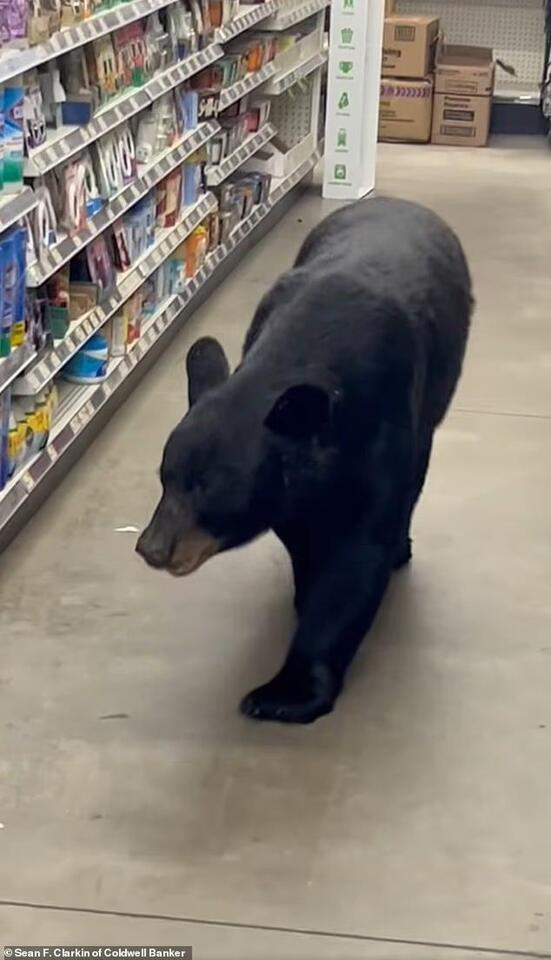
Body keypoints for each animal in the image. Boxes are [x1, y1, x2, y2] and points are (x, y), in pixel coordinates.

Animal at [136, 197, 472, 724]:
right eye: (166, 478)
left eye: (209, 488)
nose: (152, 547)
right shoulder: (293, 489)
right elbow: (302, 534)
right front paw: (304, 589)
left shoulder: (382, 430)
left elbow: (357, 557)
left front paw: (283, 692)